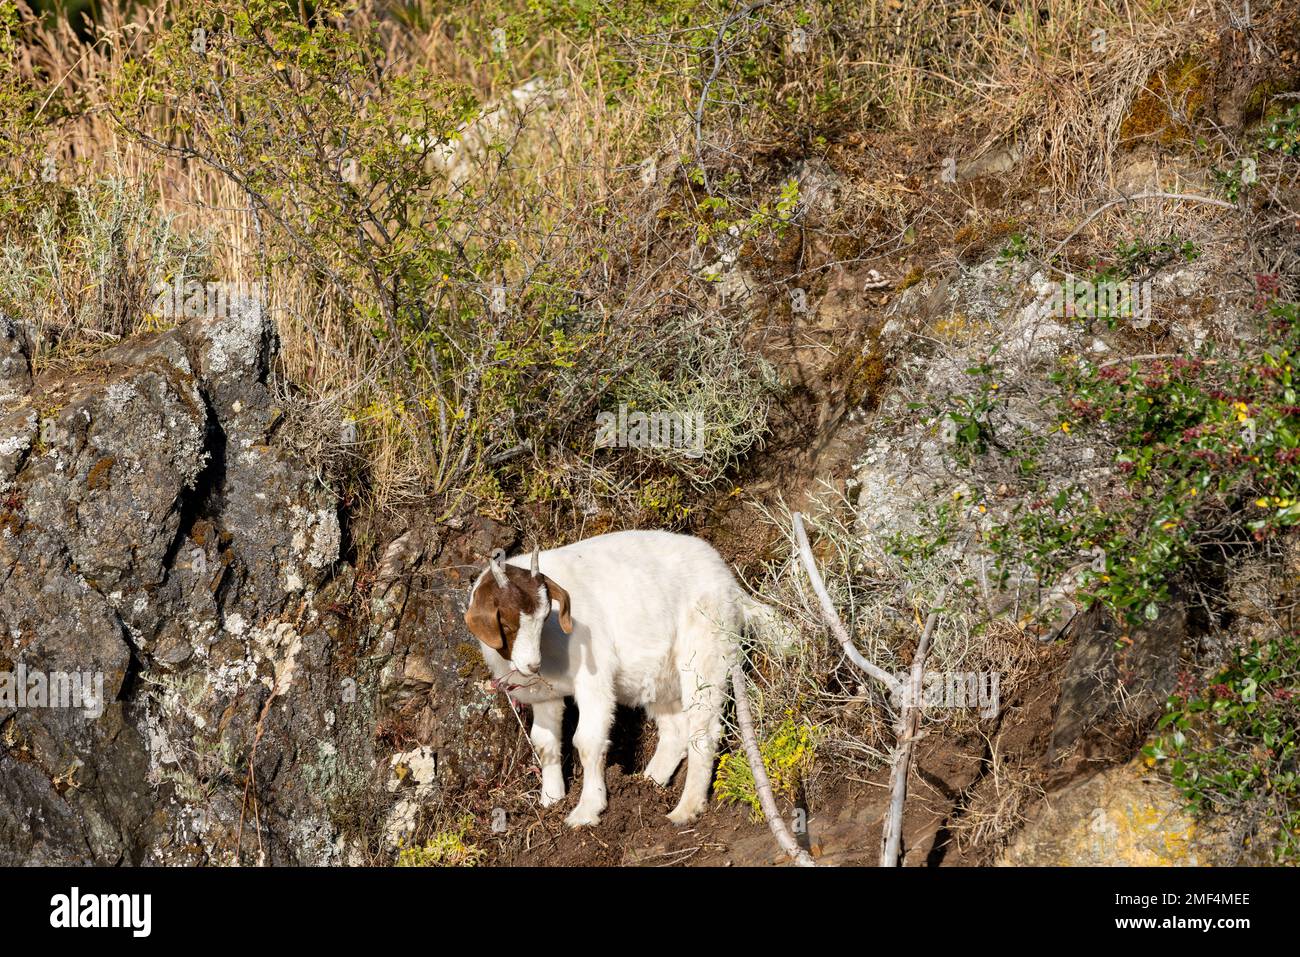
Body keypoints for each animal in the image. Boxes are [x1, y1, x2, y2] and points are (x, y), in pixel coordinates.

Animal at [464, 529, 771, 827]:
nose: (532, 664)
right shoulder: (544, 695)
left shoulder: (593, 679)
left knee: (703, 730)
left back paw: (686, 809)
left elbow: (587, 741)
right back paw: (649, 783)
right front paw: (551, 799)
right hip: (660, 676)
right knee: (675, 730)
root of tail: (731, 585)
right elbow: (544, 742)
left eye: (544, 616)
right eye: (506, 622)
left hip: (705, 652)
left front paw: (587, 810)